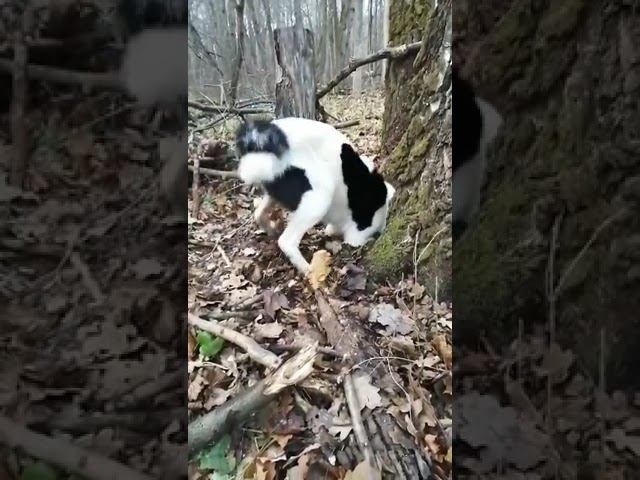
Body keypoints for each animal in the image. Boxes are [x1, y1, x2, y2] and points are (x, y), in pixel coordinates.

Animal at [235, 118, 396, 275]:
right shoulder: (357, 234)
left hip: (275, 191)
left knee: (258, 213)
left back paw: (271, 229)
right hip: (320, 197)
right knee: (286, 241)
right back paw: (307, 269)